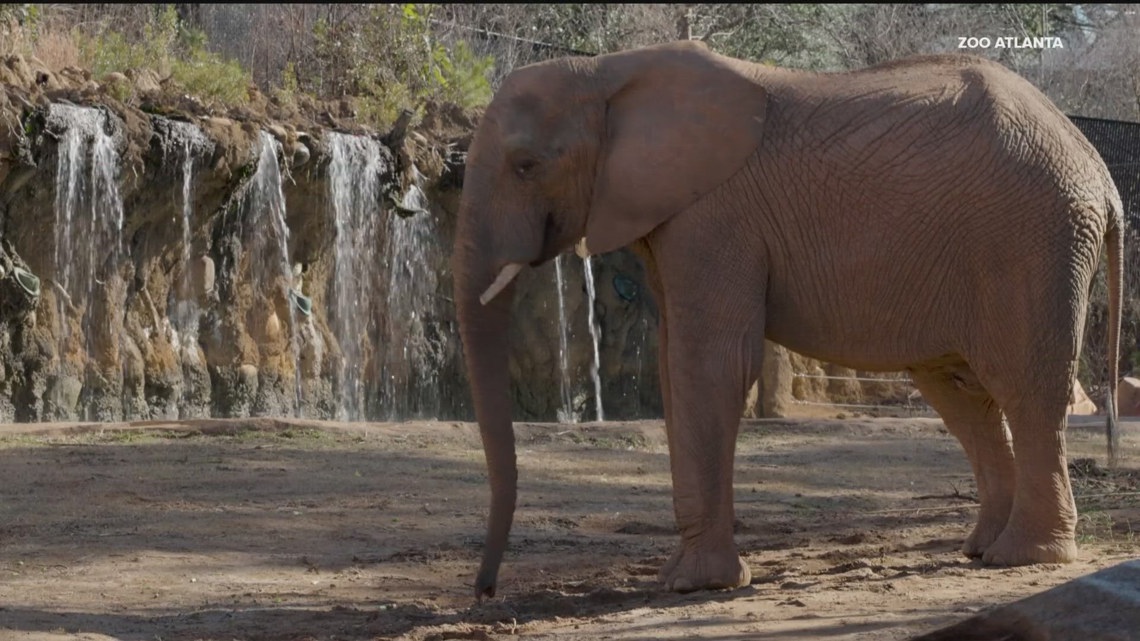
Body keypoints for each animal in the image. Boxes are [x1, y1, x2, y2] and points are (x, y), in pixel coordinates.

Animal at [451, 40, 1123, 599]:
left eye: (525, 165)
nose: (485, 593)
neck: (606, 71)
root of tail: (1100, 169)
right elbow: (674, 365)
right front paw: (685, 579)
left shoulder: (713, 216)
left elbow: (711, 364)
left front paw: (694, 587)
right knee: (962, 396)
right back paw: (982, 550)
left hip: (1032, 239)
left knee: (1024, 386)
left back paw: (1023, 558)